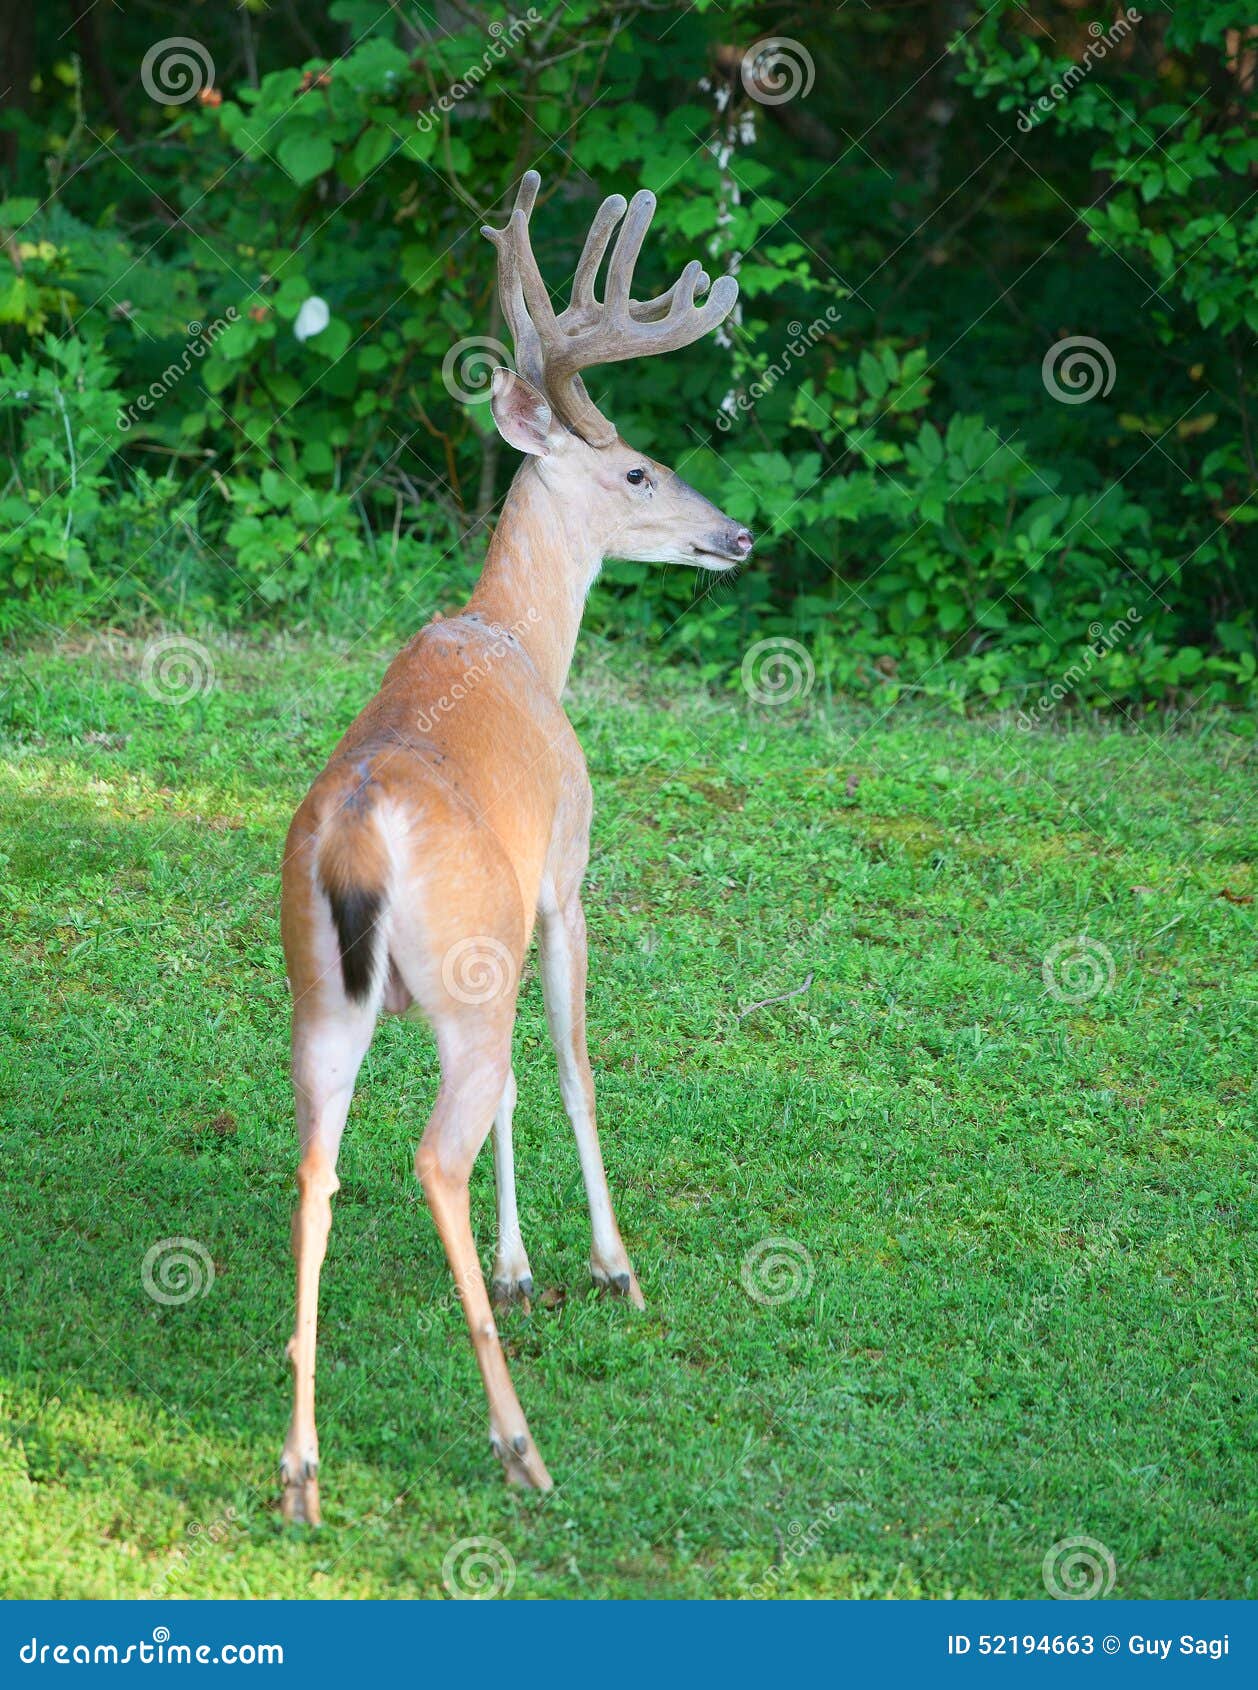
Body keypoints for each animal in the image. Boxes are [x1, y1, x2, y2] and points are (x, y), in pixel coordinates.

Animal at [278, 169, 753, 1523]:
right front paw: (605, 1265)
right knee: (433, 1148)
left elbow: (528, 1098)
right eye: (641, 472)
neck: (519, 637)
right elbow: (577, 1062)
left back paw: (302, 1467)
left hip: (320, 994)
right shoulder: (560, 878)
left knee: (318, 1166)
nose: (737, 536)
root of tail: (358, 835)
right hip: (463, 976)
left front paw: (522, 1262)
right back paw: (515, 1440)